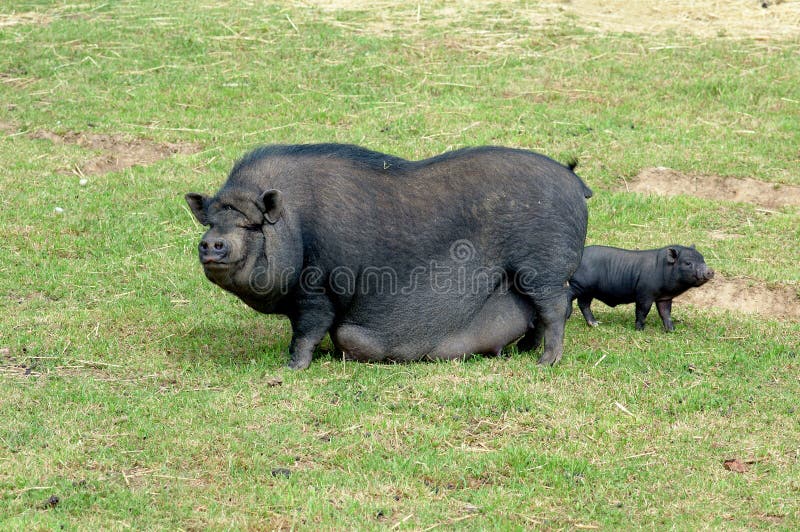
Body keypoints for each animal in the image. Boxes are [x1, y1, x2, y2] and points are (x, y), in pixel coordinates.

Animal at [185, 143, 592, 369]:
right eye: (211, 221)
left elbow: (308, 330)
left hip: (543, 269)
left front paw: (291, 368)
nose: (211, 244)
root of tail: (575, 182)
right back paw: (522, 352)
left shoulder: (316, 289)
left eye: (250, 225)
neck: (295, 224)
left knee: (556, 309)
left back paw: (544, 364)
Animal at [568, 245, 714, 331]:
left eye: (703, 259)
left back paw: (595, 323)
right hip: (581, 286)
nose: (710, 271)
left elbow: (665, 313)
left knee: (583, 304)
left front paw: (671, 330)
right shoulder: (645, 293)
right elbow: (642, 311)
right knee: (573, 298)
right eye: (688, 263)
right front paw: (640, 330)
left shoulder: (664, 298)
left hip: (587, 291)